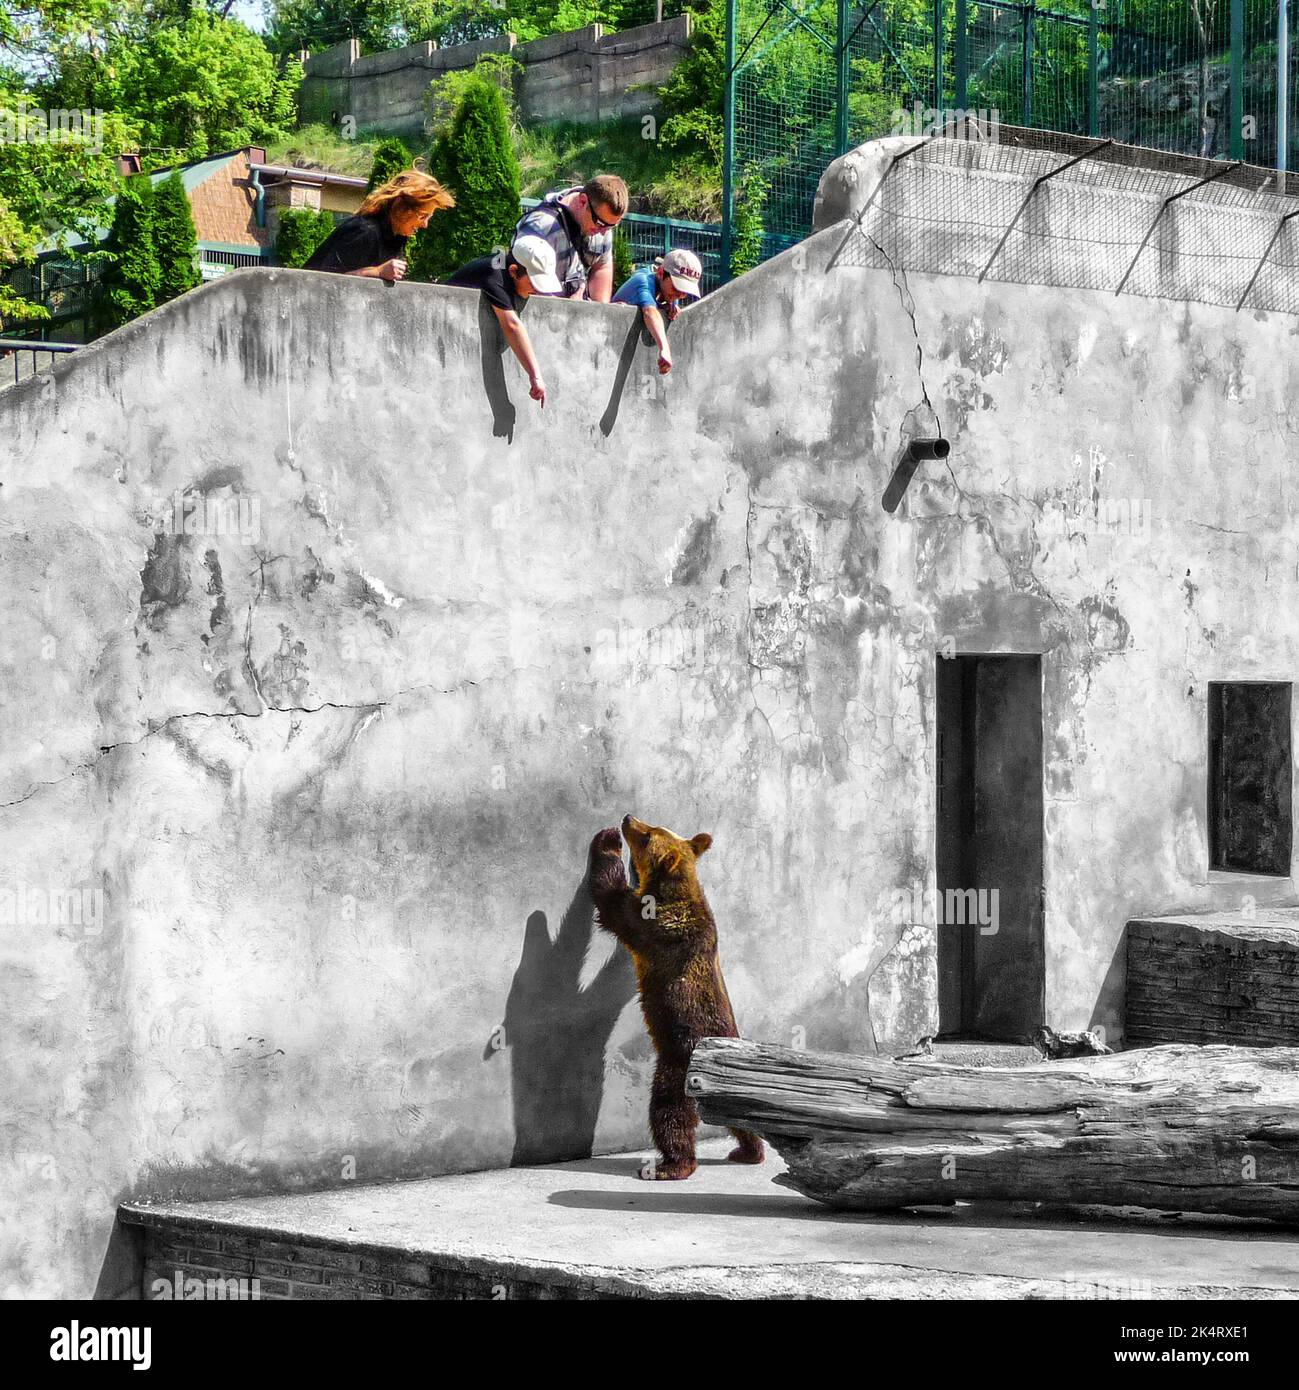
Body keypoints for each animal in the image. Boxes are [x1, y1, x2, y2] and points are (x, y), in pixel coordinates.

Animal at [587, 815, 764, 1180]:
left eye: (647, 835)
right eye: (655, 826)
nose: (628, 819)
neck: (672, 891)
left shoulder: (654, 925)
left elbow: (612, 901)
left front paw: (608, 843)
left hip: (677, 1068)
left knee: (669, 1116)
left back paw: (670, 1166)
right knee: (742, 1118)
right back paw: (748, 1151)